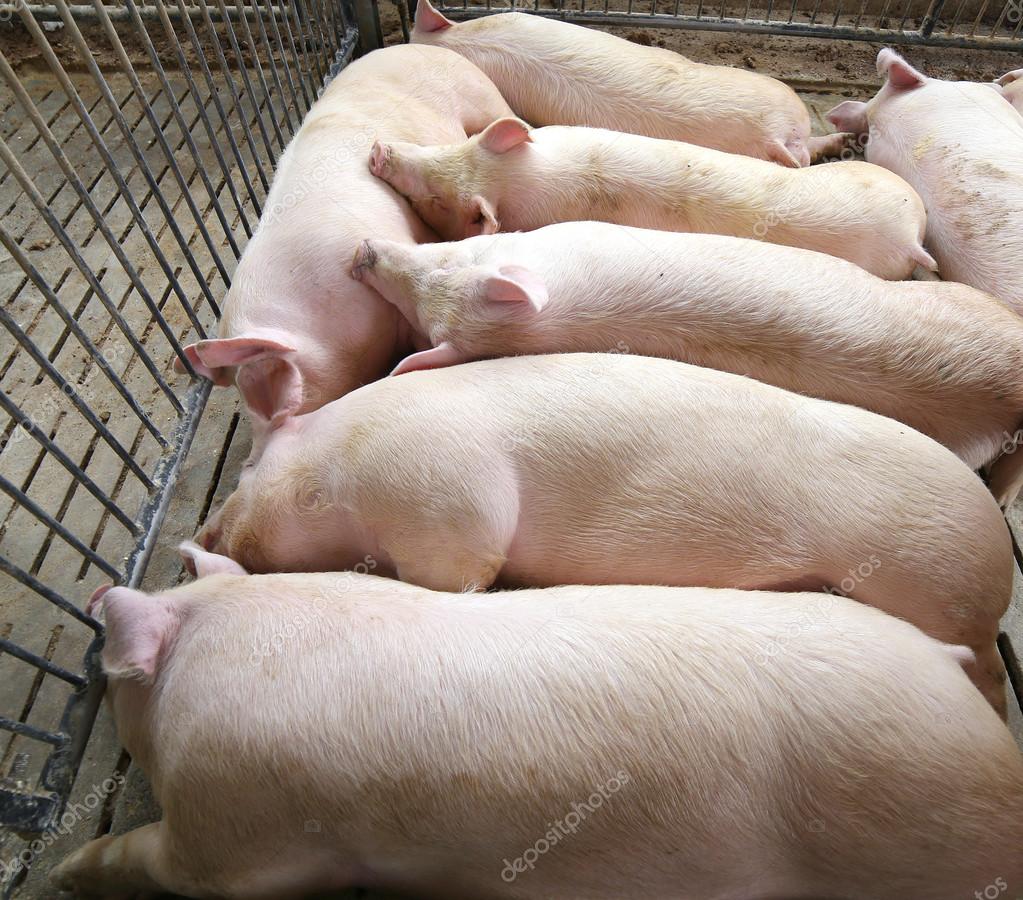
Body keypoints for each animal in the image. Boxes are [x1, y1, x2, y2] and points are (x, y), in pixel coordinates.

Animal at [195, 354, 1012, 714]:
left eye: (250, 466)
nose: (211, 533)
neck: (343, 461)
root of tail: (998, 579)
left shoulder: (446, 499)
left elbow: (458, 571)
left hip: (926, 579)